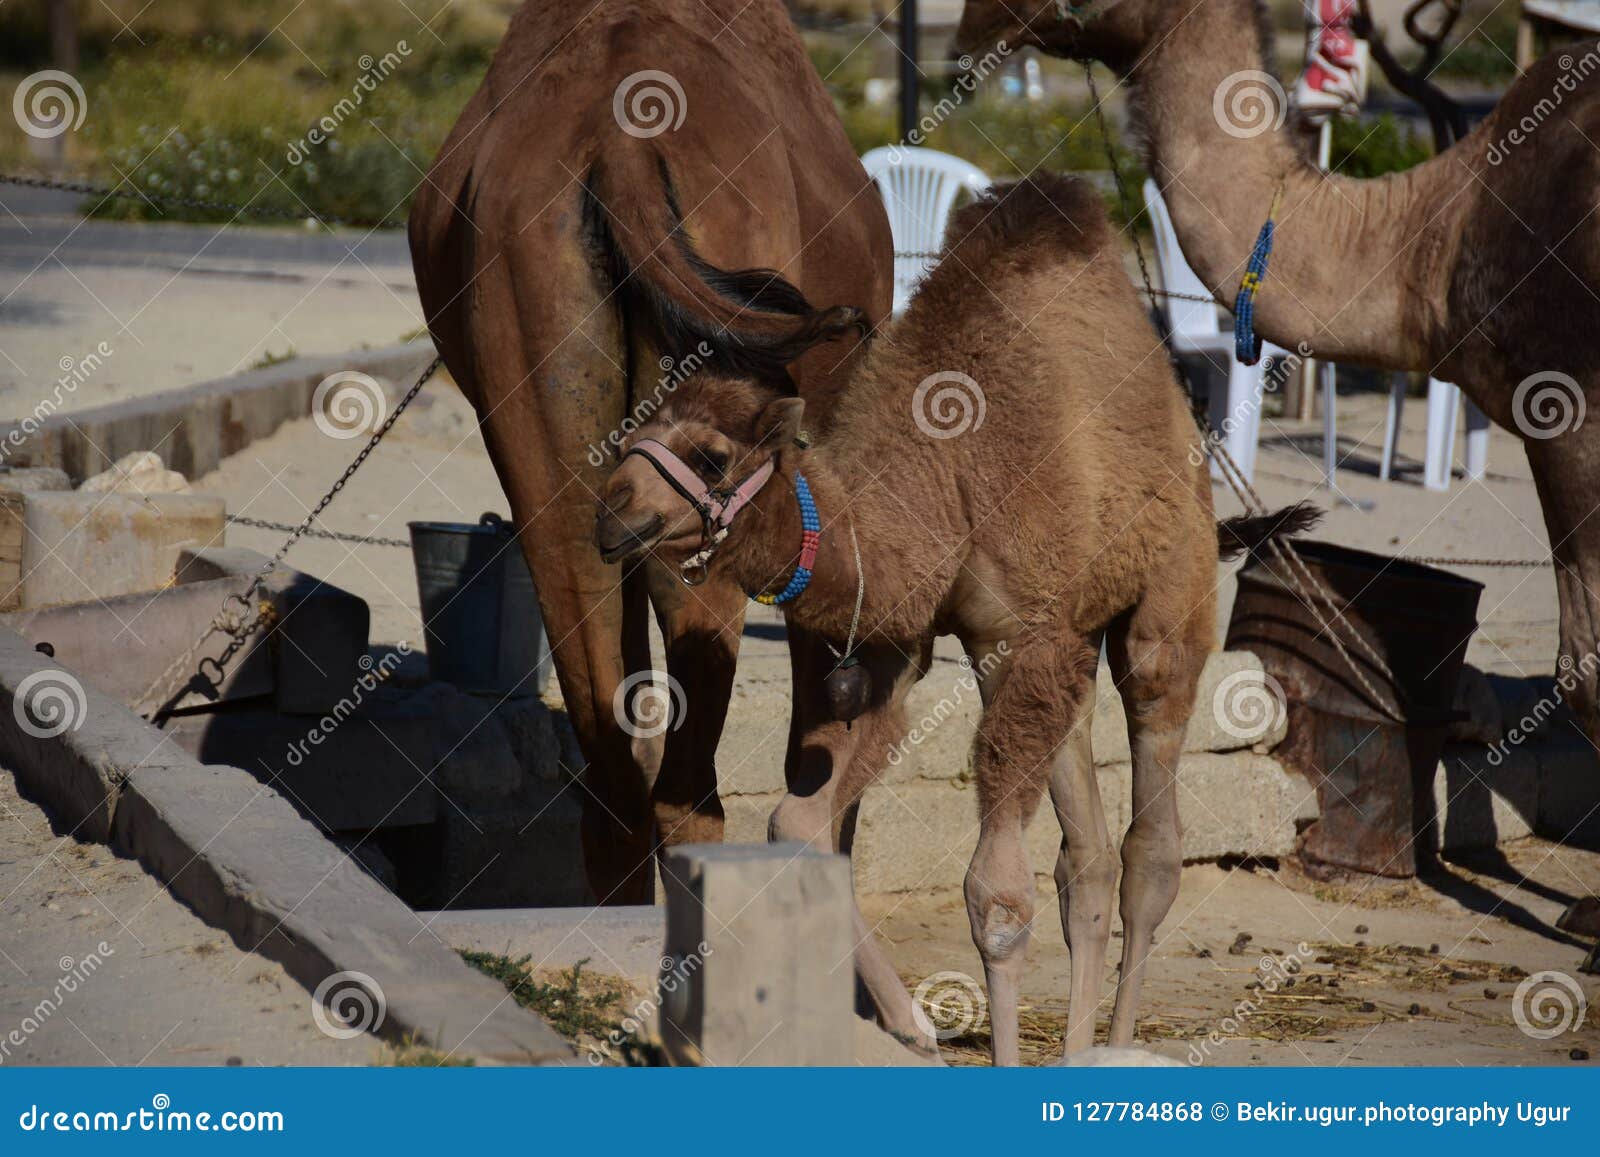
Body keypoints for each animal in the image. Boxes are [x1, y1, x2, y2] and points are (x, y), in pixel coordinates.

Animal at [595, 175, 1315, 1064]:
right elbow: (800, 817)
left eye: (711, 456)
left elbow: (996, 897)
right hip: (1066, 647)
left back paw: (1120, 1042)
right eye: (636, 430)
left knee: (1152, 834)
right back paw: (1081, 1048)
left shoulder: (1017, 634)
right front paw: (910, 1023)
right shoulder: (901, 641)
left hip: (1164, 597)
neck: (938, 478)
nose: (612, 512)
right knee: (1088, 859)